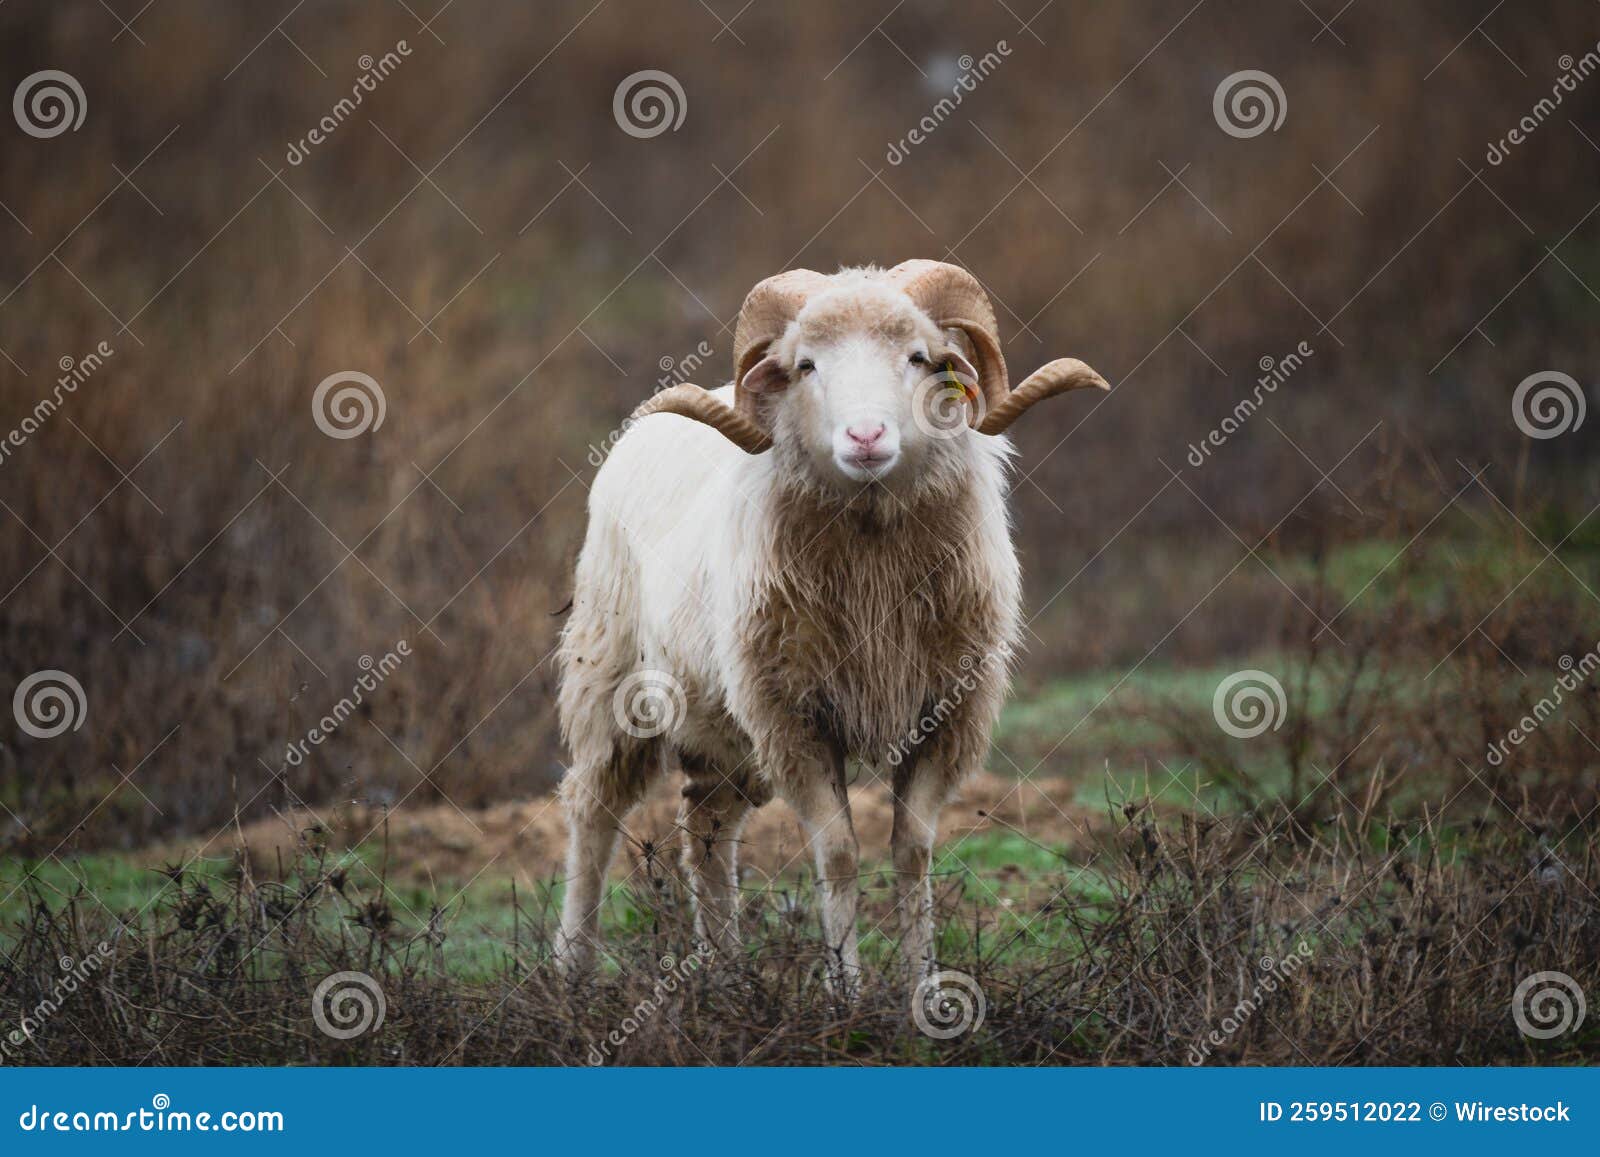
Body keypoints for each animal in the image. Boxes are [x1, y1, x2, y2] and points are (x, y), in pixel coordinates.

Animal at [554, 260, 1108, 999]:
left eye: (918, 357)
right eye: (806, 365)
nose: (865, 438)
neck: (872, 567)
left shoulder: (944, 715)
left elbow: (912, 850)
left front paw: (923, 988)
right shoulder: (795, 721)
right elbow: (840, 852)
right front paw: (844, 992)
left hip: (723, 726)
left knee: (707, 825)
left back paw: (725, 974)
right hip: (612, 681)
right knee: (594, 812)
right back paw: (572, 972)